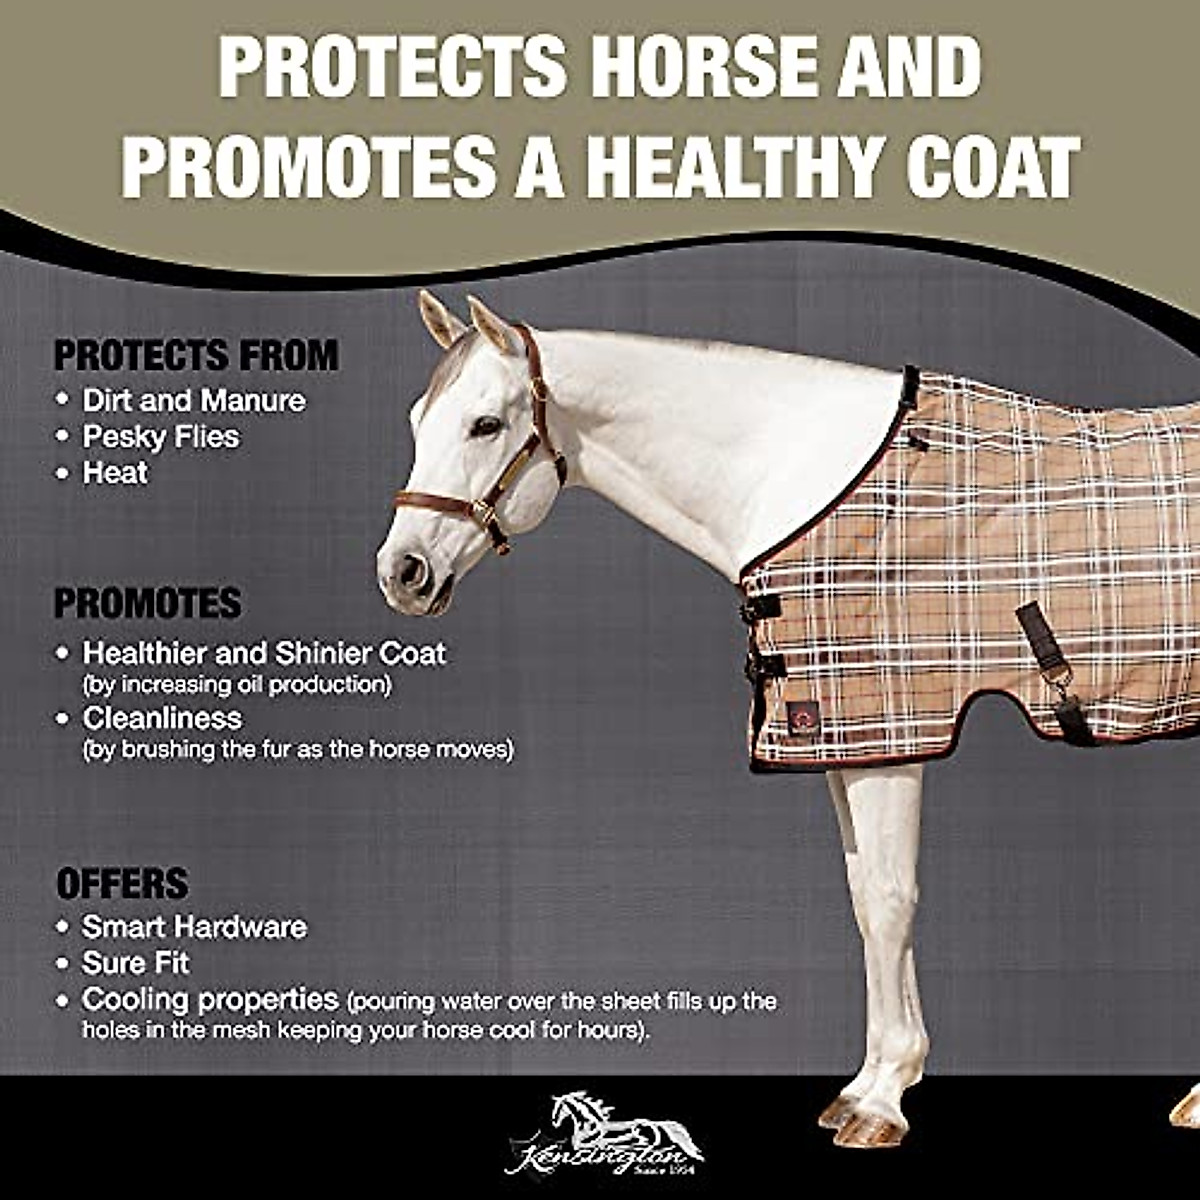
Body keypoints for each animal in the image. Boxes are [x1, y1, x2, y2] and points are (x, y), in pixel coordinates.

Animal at [376, 289, 1200, 1149]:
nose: (402, 573)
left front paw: (881, 1104)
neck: (807, 482)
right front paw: (870, 1080)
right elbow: (863, 897)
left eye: (485, 424)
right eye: (417, 420)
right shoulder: (833, 734)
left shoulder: (890, 732)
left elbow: (890, 901)